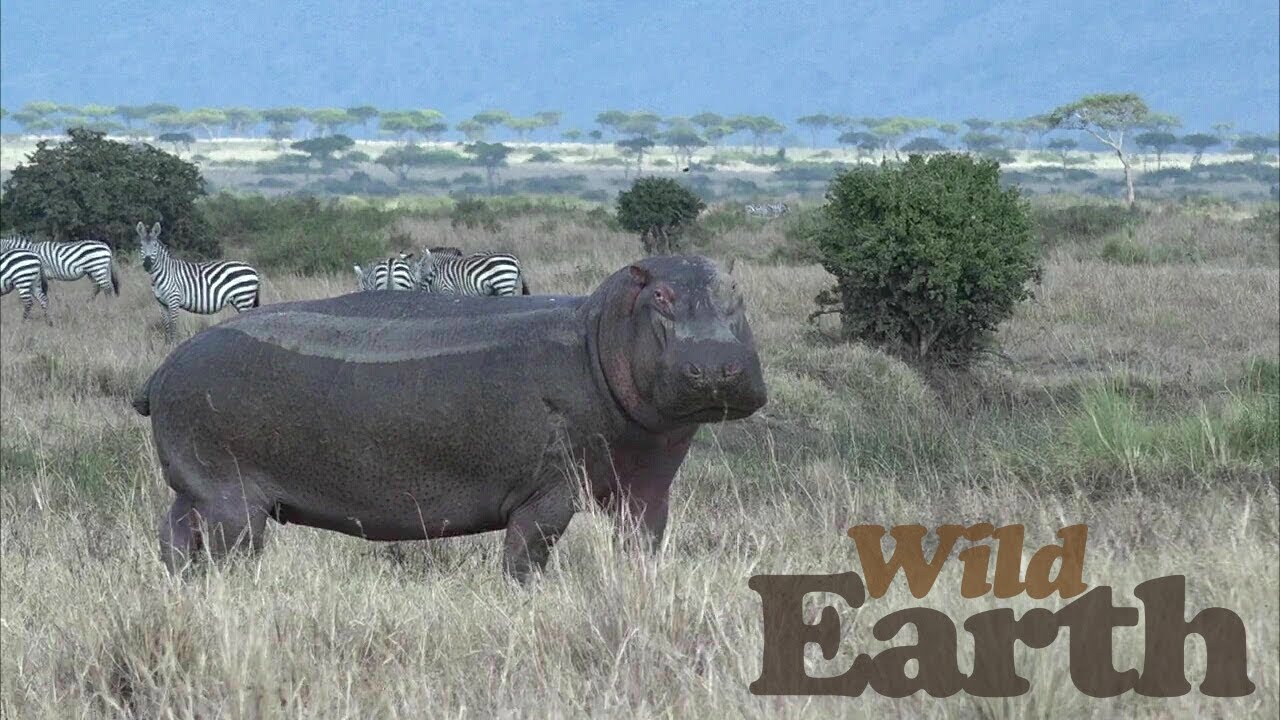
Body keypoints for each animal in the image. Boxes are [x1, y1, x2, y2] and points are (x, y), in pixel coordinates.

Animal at [133, 255, 767, 582]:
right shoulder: (549, 491)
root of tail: (164, 368)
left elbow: (644, 540)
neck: (598, 334)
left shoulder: (649, 483)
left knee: (173, 539)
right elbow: (526, 555)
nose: (719, 367)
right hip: (232, 500)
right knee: (224, 555)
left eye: (737, 291)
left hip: (195, 491)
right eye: (660, 297)